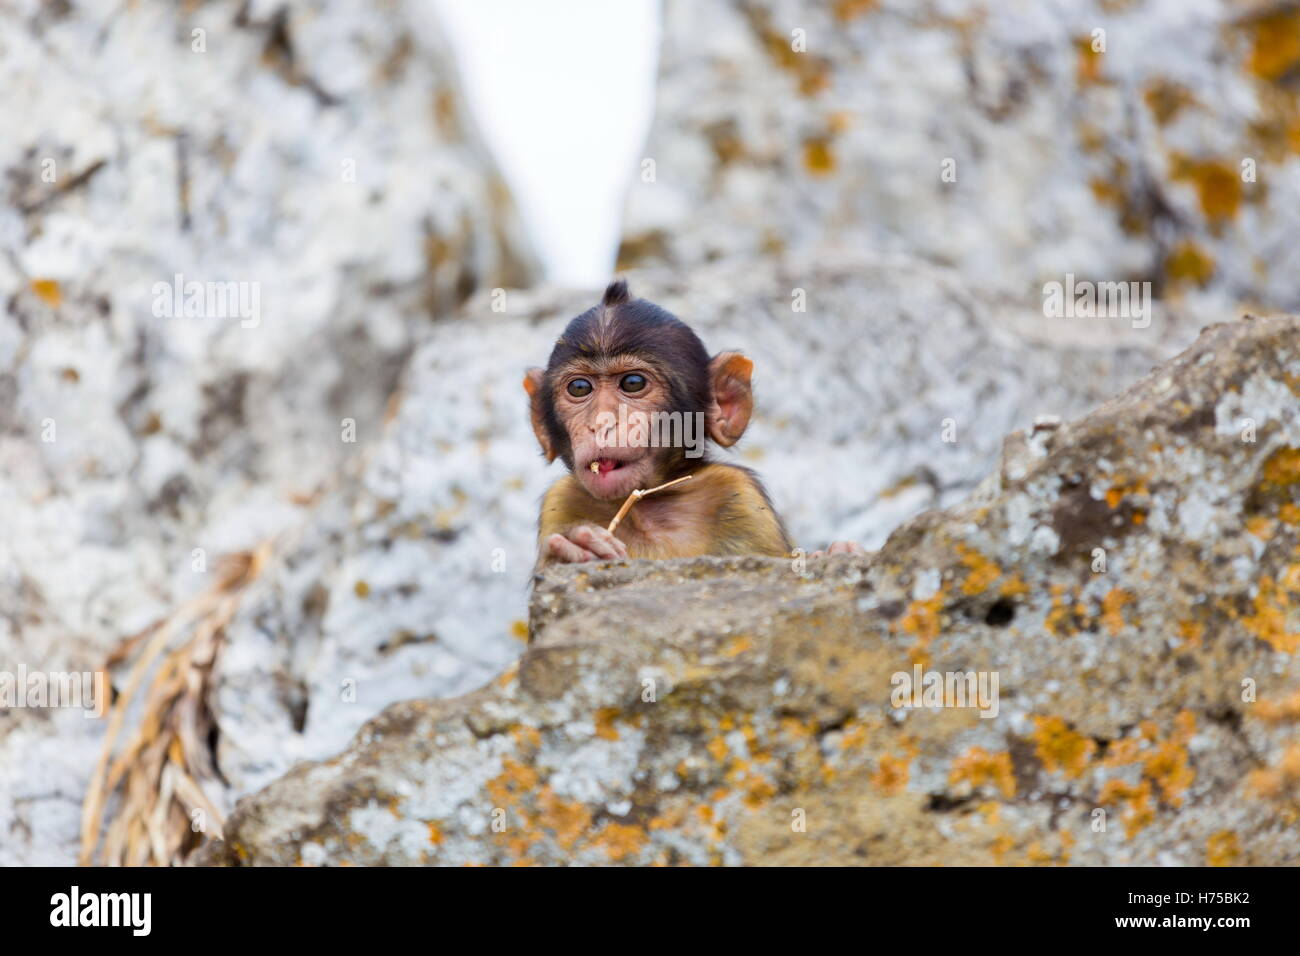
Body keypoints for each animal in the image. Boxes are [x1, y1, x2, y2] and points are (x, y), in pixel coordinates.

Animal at [524, 280, 863, 566]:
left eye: (633, 383)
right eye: (580, 388)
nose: (600, 423)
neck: (647, 506)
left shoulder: (739, 498)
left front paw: (835, 553)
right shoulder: (562, 500)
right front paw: (575, 547)